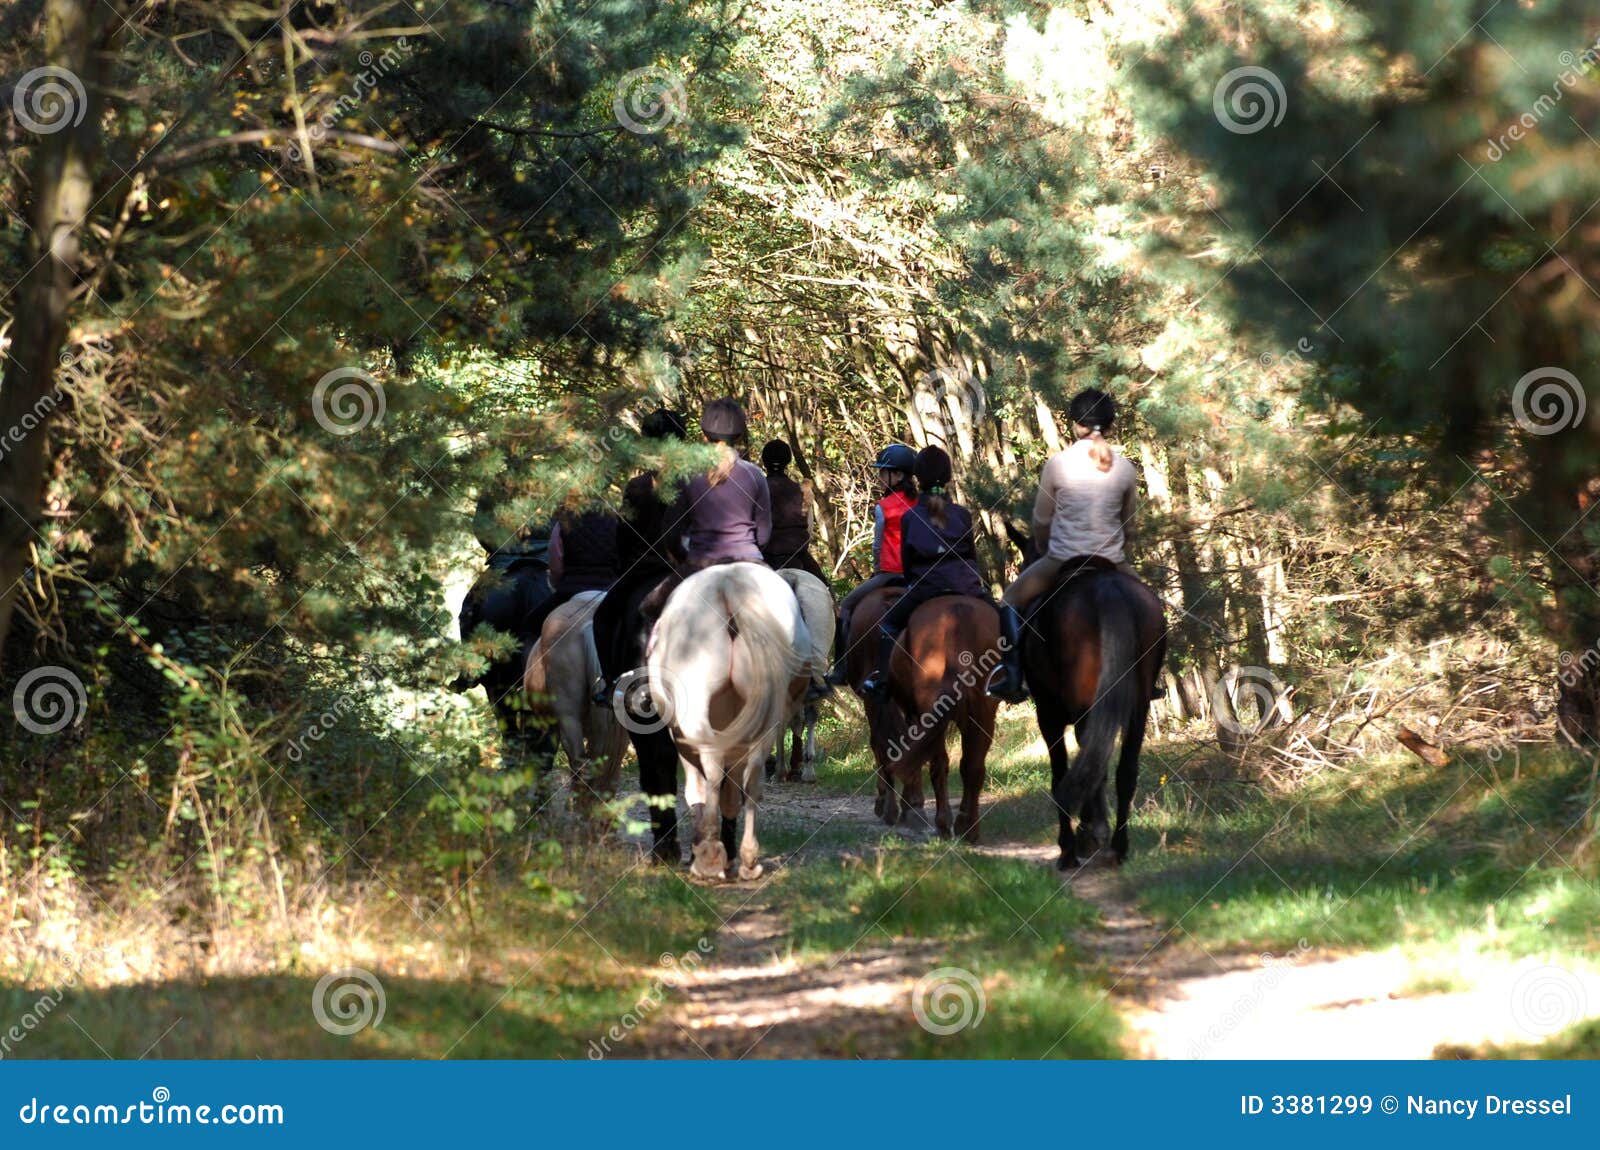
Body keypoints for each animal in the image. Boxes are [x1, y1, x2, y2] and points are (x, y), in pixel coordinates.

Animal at [648, 562, 809, 882]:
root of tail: (728, 584)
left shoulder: (683, 739)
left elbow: (698, 791)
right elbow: (733, 794)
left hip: (696, 712)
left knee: (711, 771)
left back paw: (708, 857)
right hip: (766, 720)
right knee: (754, 779)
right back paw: (748, 858)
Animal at [843, 584, 1000, 840]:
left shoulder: (881, 705)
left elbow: (884, 746)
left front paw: (891, 805)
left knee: (925, 759)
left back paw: (936, 822)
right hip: (983, 711)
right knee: (972, 765)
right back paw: (967, 827)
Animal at [1006, 526, 1167, 868]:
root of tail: (1108, 589)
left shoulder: (1048, 716)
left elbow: (1060, 774)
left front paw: (1070, 845)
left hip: (1082, 707)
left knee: (1091, 765)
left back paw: (1089, 839)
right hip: (1138, 709)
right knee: (1124, 771)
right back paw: (1118, 846)